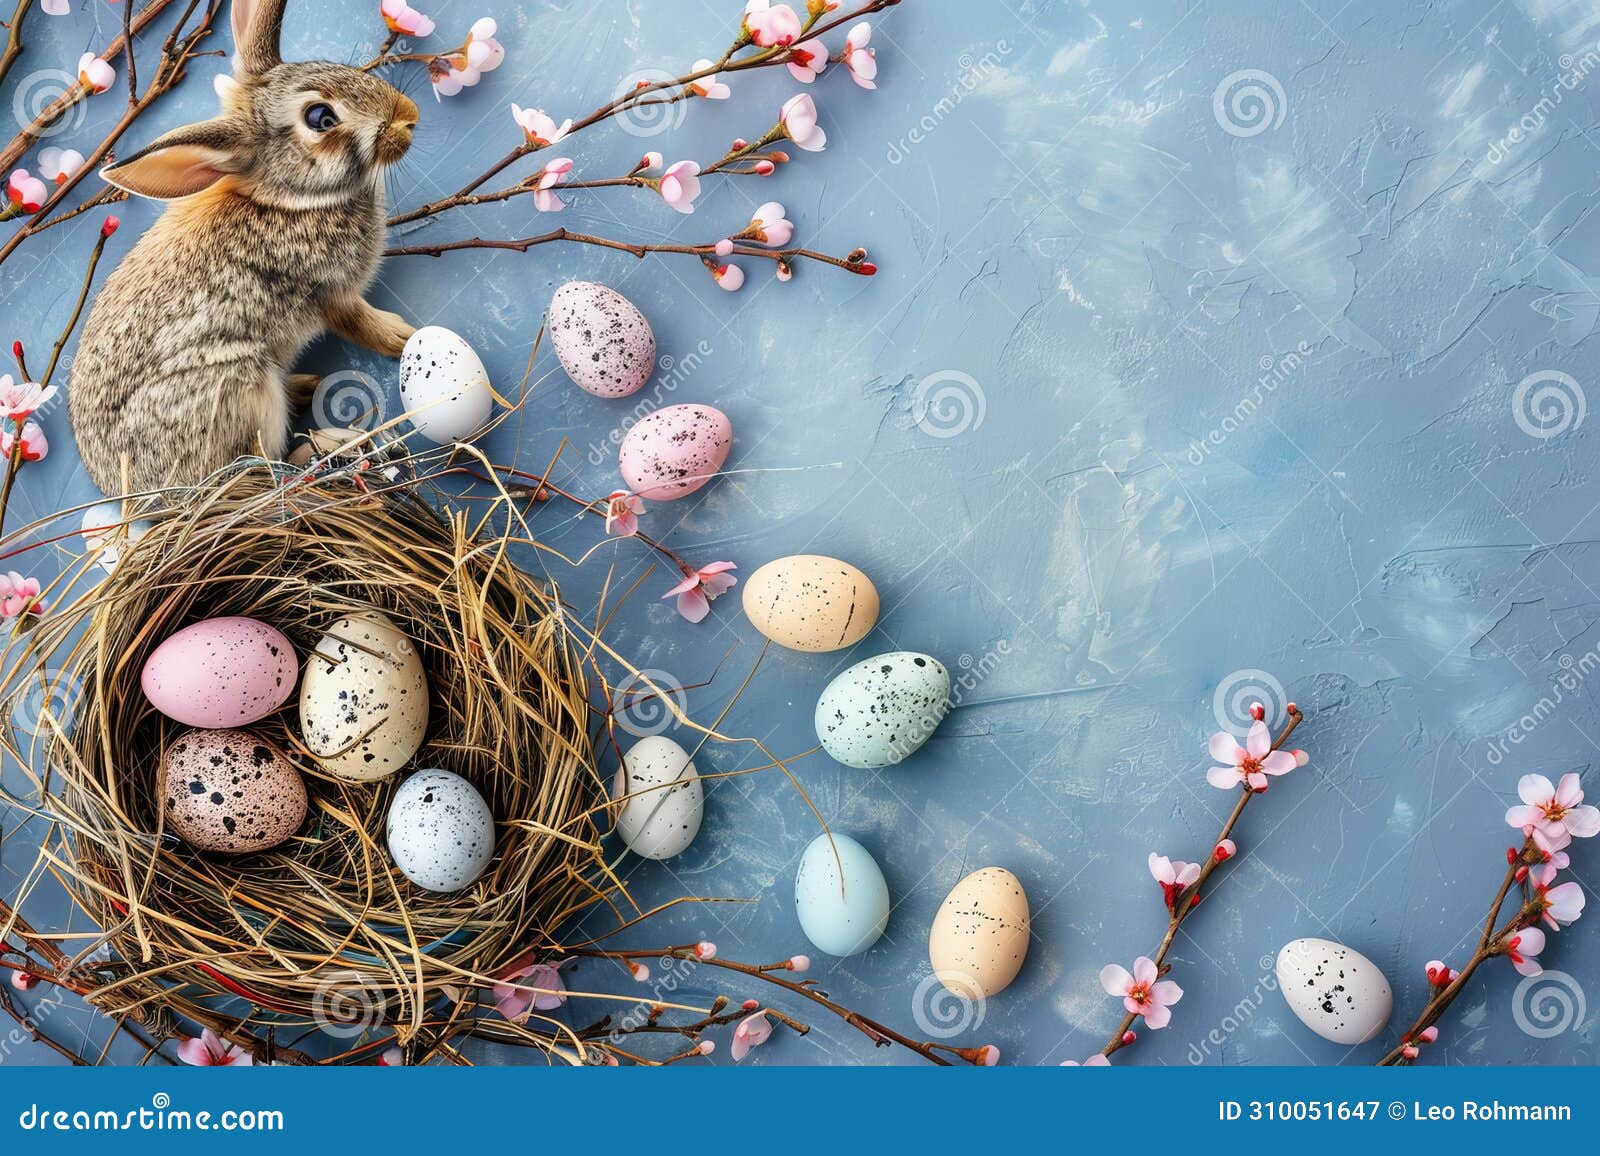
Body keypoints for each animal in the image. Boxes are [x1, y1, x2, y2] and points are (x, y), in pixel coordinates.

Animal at [69, 0, 420, 496]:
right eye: (321, 119)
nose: (410, 114)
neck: (287, 200)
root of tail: (140, 496)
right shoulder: (330, 292)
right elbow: (360, 323)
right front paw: (403, 338)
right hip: (241, 390)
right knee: (257, 467)